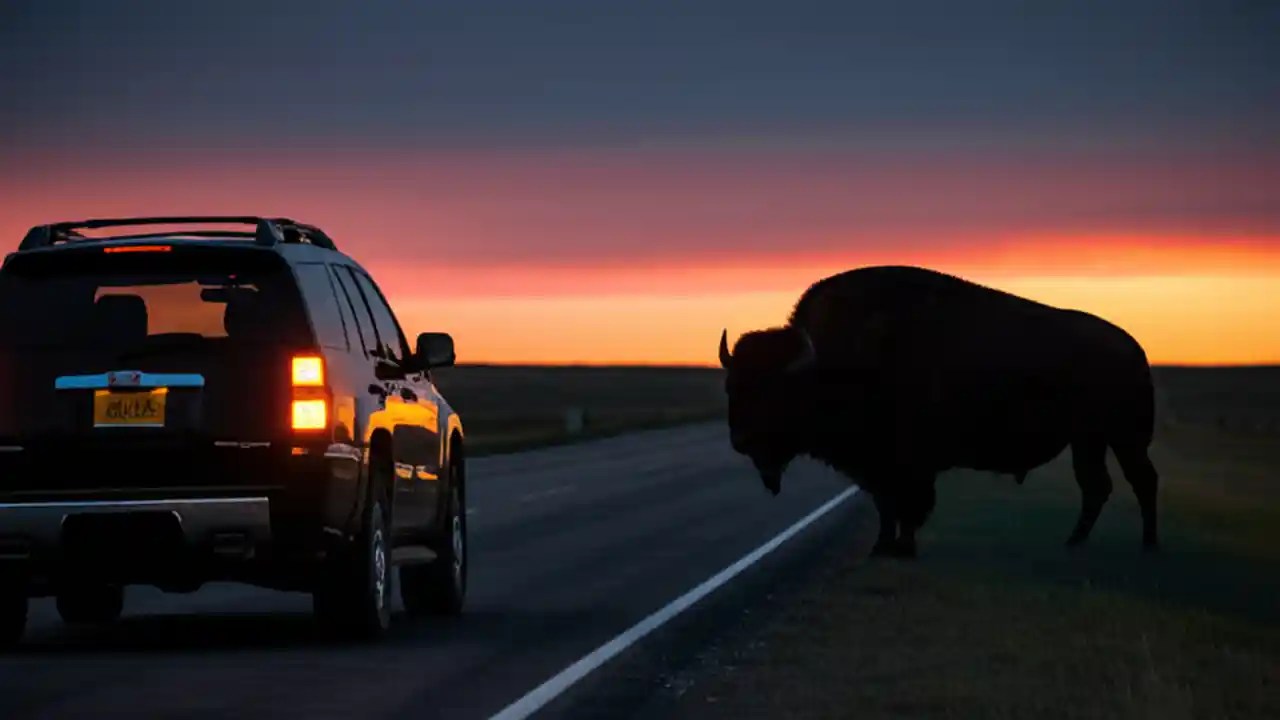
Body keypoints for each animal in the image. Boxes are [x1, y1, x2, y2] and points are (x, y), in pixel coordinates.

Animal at [718, 265, 1159, 558]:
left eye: (775, 391)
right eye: (731, 386)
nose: (740, 441)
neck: (832, 363)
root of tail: (1135, 349)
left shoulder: (908, 463)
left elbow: (909, 504)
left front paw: (903, 547)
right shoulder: (875, 466)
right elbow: (886, 505)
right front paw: (882, 546)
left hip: (1125, 438)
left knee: (1142, 480)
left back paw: (1148, 545)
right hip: (1089, 441)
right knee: (1096, 486)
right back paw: (1074, 542)